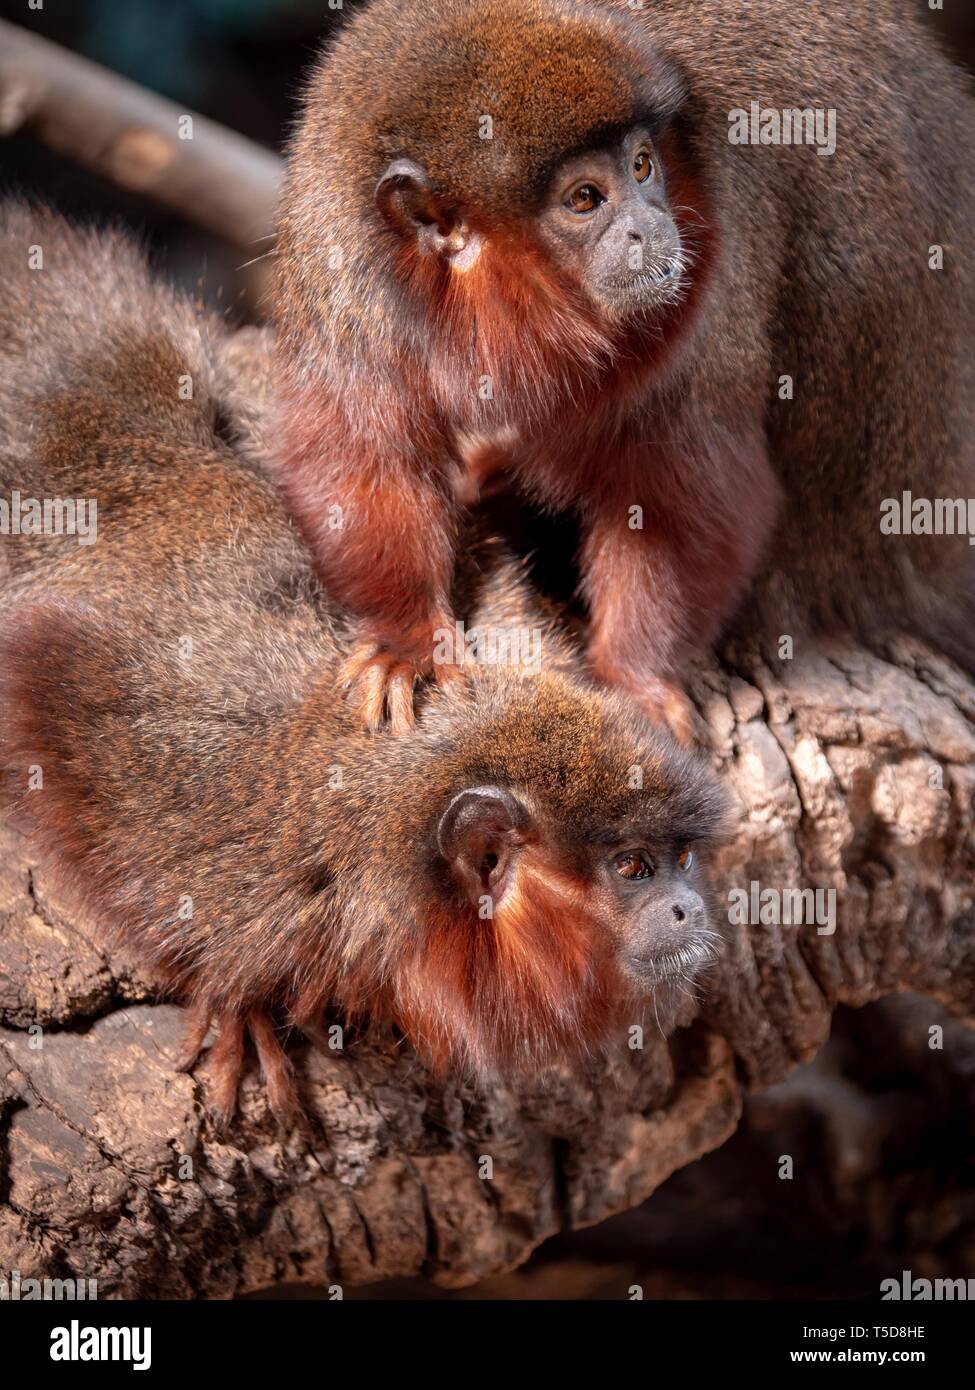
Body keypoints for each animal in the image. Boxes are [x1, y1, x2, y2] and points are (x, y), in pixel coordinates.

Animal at [0, 204, 728, 1123]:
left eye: (681, 861)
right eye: (632, 868)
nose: (687, 907)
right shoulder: (202, 767)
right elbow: (65, 691)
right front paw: (236, 992)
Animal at [273, 0, 975, 743]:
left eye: (642, 166)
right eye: (585, 199)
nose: (650, 224)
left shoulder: (718, 268)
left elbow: (679, 496)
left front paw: (632, 679)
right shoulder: (341, 262)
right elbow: (360, 453)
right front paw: (407, 637)